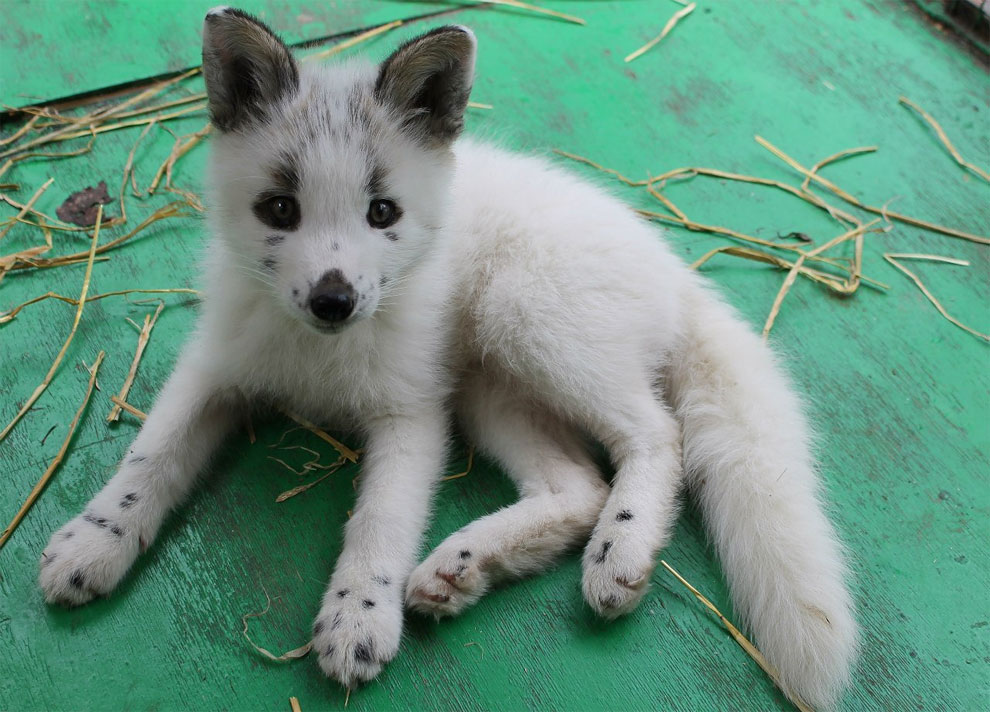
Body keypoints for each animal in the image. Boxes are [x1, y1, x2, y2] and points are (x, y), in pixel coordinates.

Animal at [38, 8, 857, 709]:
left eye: (382, 213)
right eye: (279, 209)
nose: (334, 300)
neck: (316, 357)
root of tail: (676, 272)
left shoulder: (412, 417)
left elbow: (379, 523)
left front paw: (357, 617)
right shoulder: (215, 371)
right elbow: (149, 460)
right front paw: (95, 540)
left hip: (531, 325)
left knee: (658, 435)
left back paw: (617, 549)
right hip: (488, 390)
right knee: (577, 485)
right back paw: (461, 568)